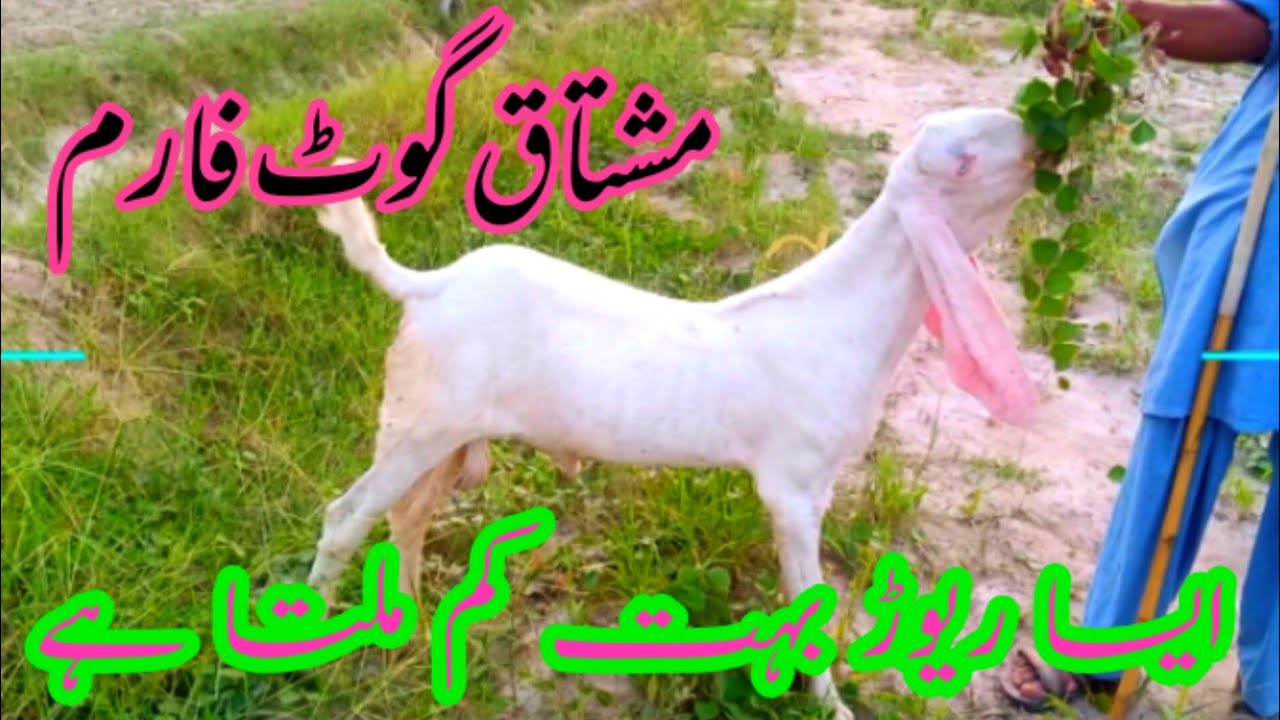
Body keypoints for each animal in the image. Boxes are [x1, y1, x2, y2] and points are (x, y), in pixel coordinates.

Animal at [307, 107, 1039, 719]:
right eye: (964, 159)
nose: (1036, 139)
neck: (846, 314)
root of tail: (432, 285)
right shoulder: (795, 488)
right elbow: (808, 606)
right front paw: (831, 707)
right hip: (422, 422)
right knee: (347, 515)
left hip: (444, 433)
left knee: (407, 517)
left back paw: (414, 631)